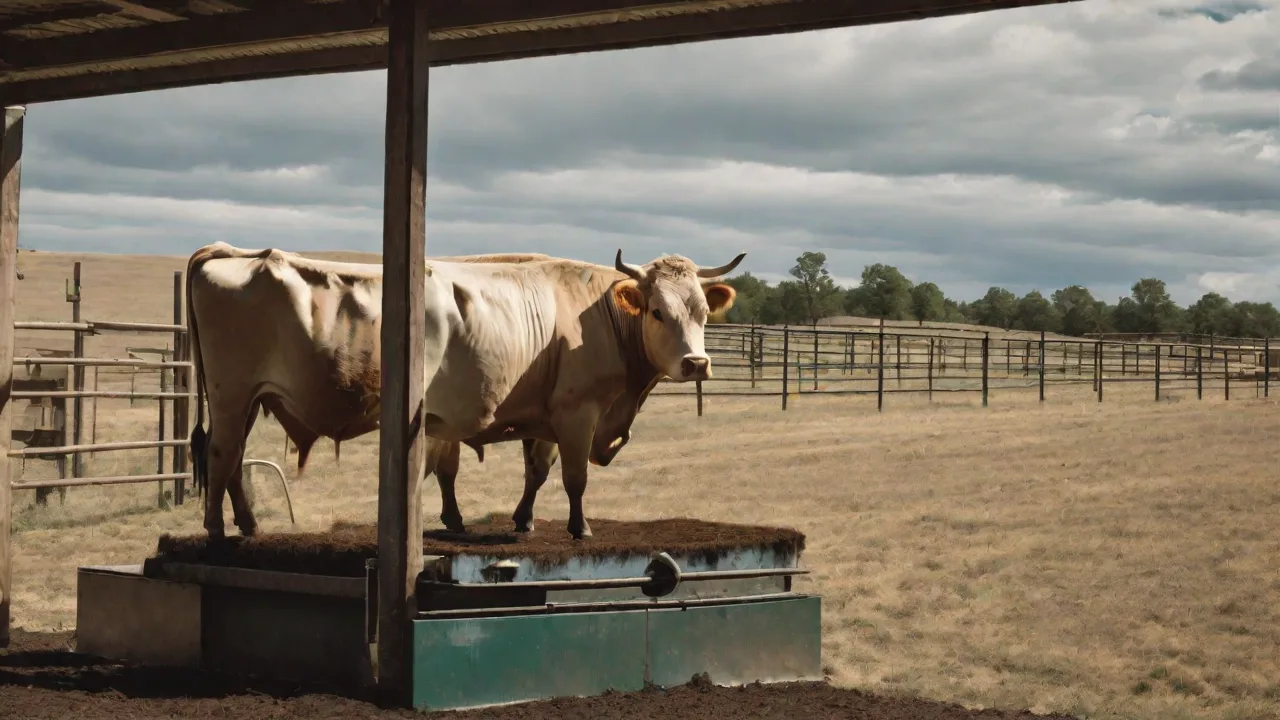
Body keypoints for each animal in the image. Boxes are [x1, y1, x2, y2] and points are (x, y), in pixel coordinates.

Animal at [184, 244, 658, 540]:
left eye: (681, 309)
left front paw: (508, 520)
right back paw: (216, 530)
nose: (687, 362)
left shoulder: (531, 418)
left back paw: (248, 525)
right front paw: (576, 527)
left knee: (234, 459)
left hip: (248, 400)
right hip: (231, 396)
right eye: (658, 309)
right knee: (222, 453)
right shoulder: (576, 411)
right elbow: (568, 476)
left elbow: (526, 470)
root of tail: (232, 252)